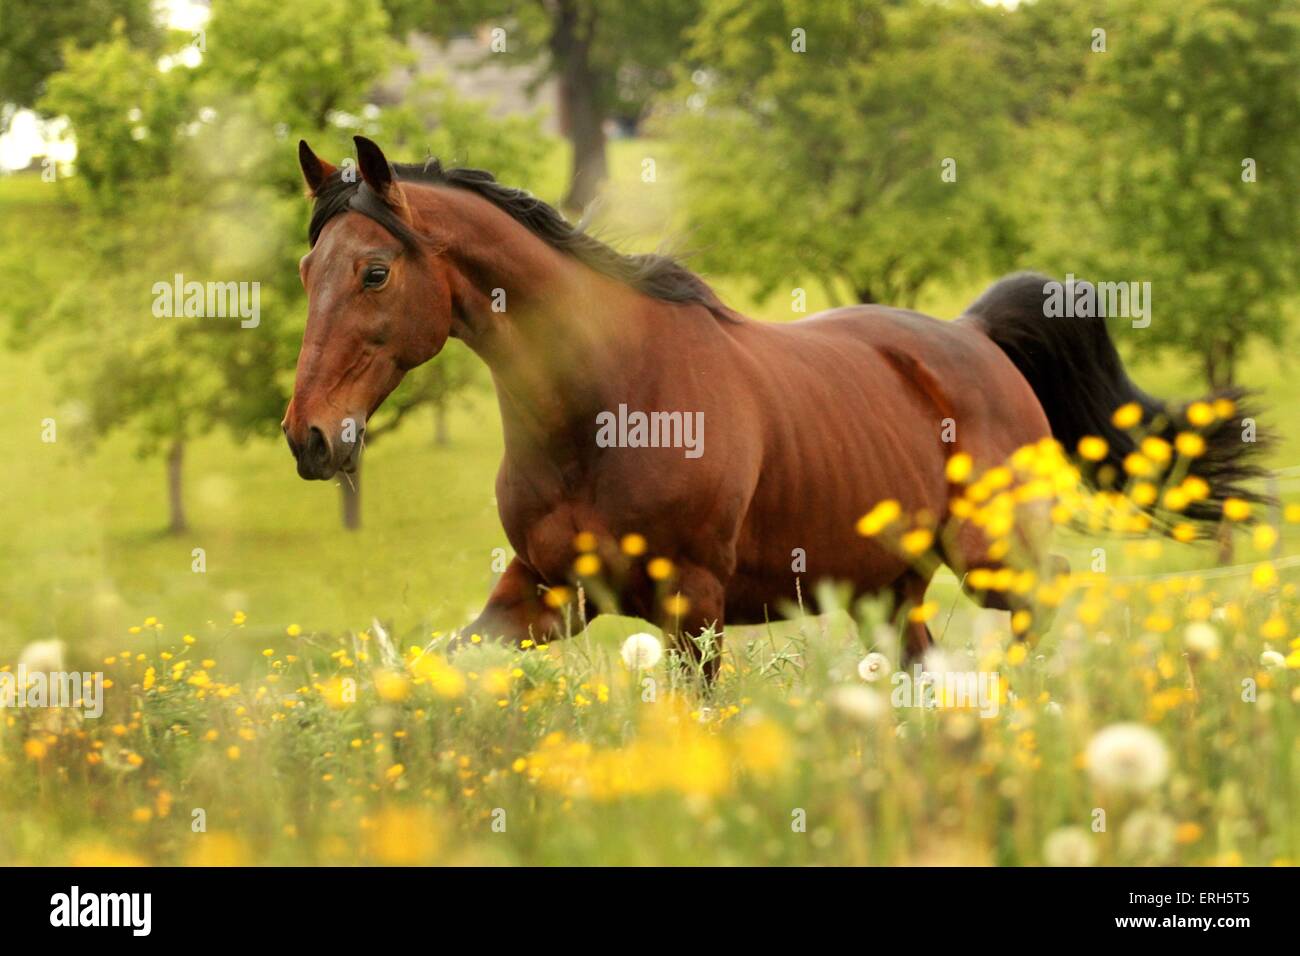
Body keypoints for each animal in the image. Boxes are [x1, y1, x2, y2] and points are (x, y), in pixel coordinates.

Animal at [283, 136, 1265, 674]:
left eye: (375, 271)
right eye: (305, 268)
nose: (309, 440)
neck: (603, 406)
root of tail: (976, 336)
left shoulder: (694, 607)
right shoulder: (542, 592)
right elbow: (437, 668)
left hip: (992, 557)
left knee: (1046, 597)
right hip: (891, 588)